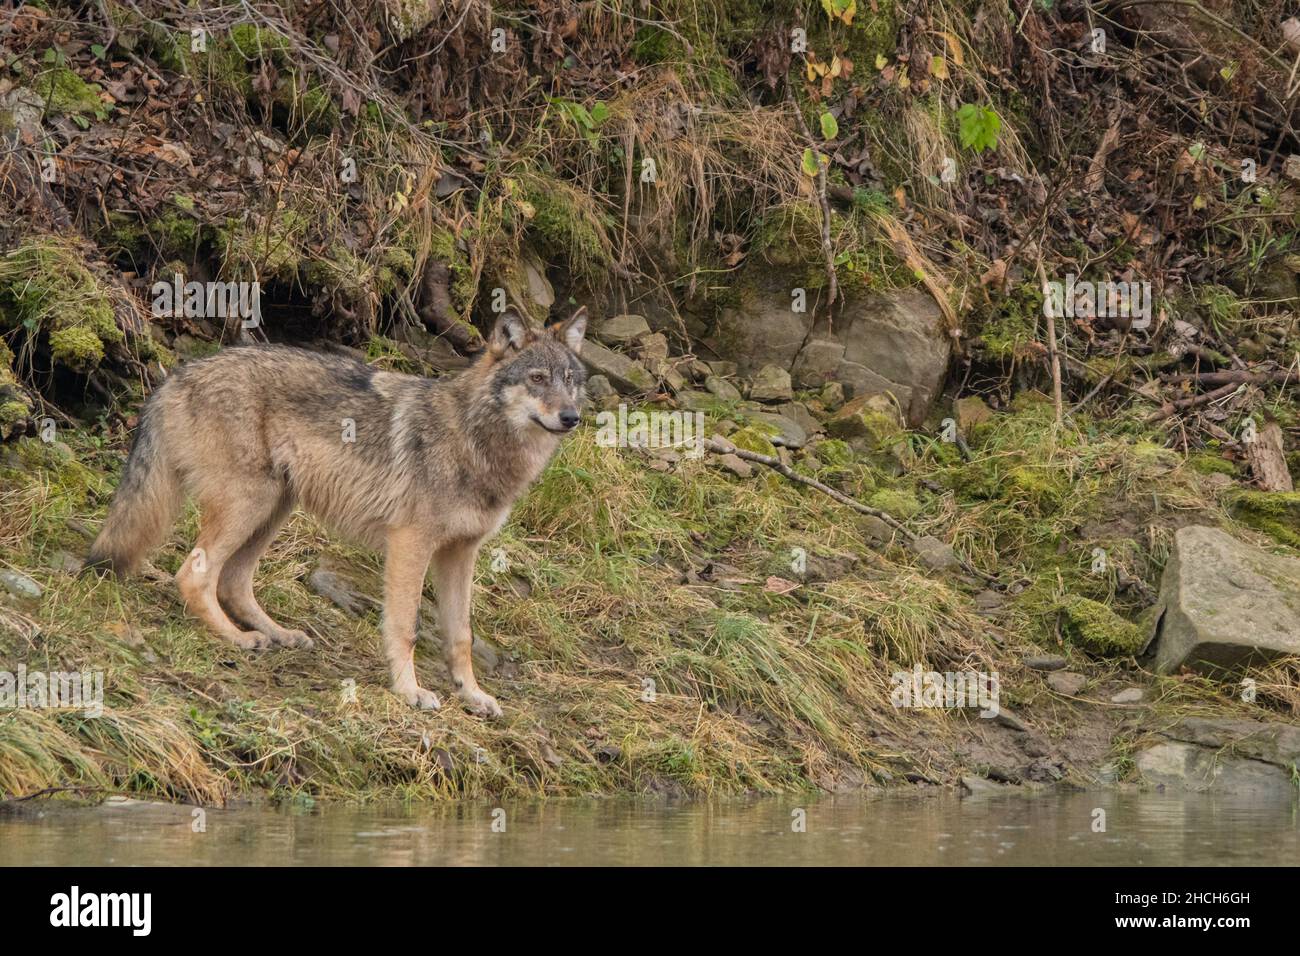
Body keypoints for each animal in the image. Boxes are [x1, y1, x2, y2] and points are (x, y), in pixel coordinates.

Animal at [86, 308, 589, 717]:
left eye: (570, 381)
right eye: (537, 378)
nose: (571, 418)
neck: (474, 440)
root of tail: (180, 373)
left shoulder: (461, 554)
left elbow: (460, 636)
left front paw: (473, 695)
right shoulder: (410, 543)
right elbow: (405, 626)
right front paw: (409, 692)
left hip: (274, 509)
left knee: (233, 580)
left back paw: (279, 634)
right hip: (249, 505)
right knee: (194, 574)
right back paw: (237, 639)